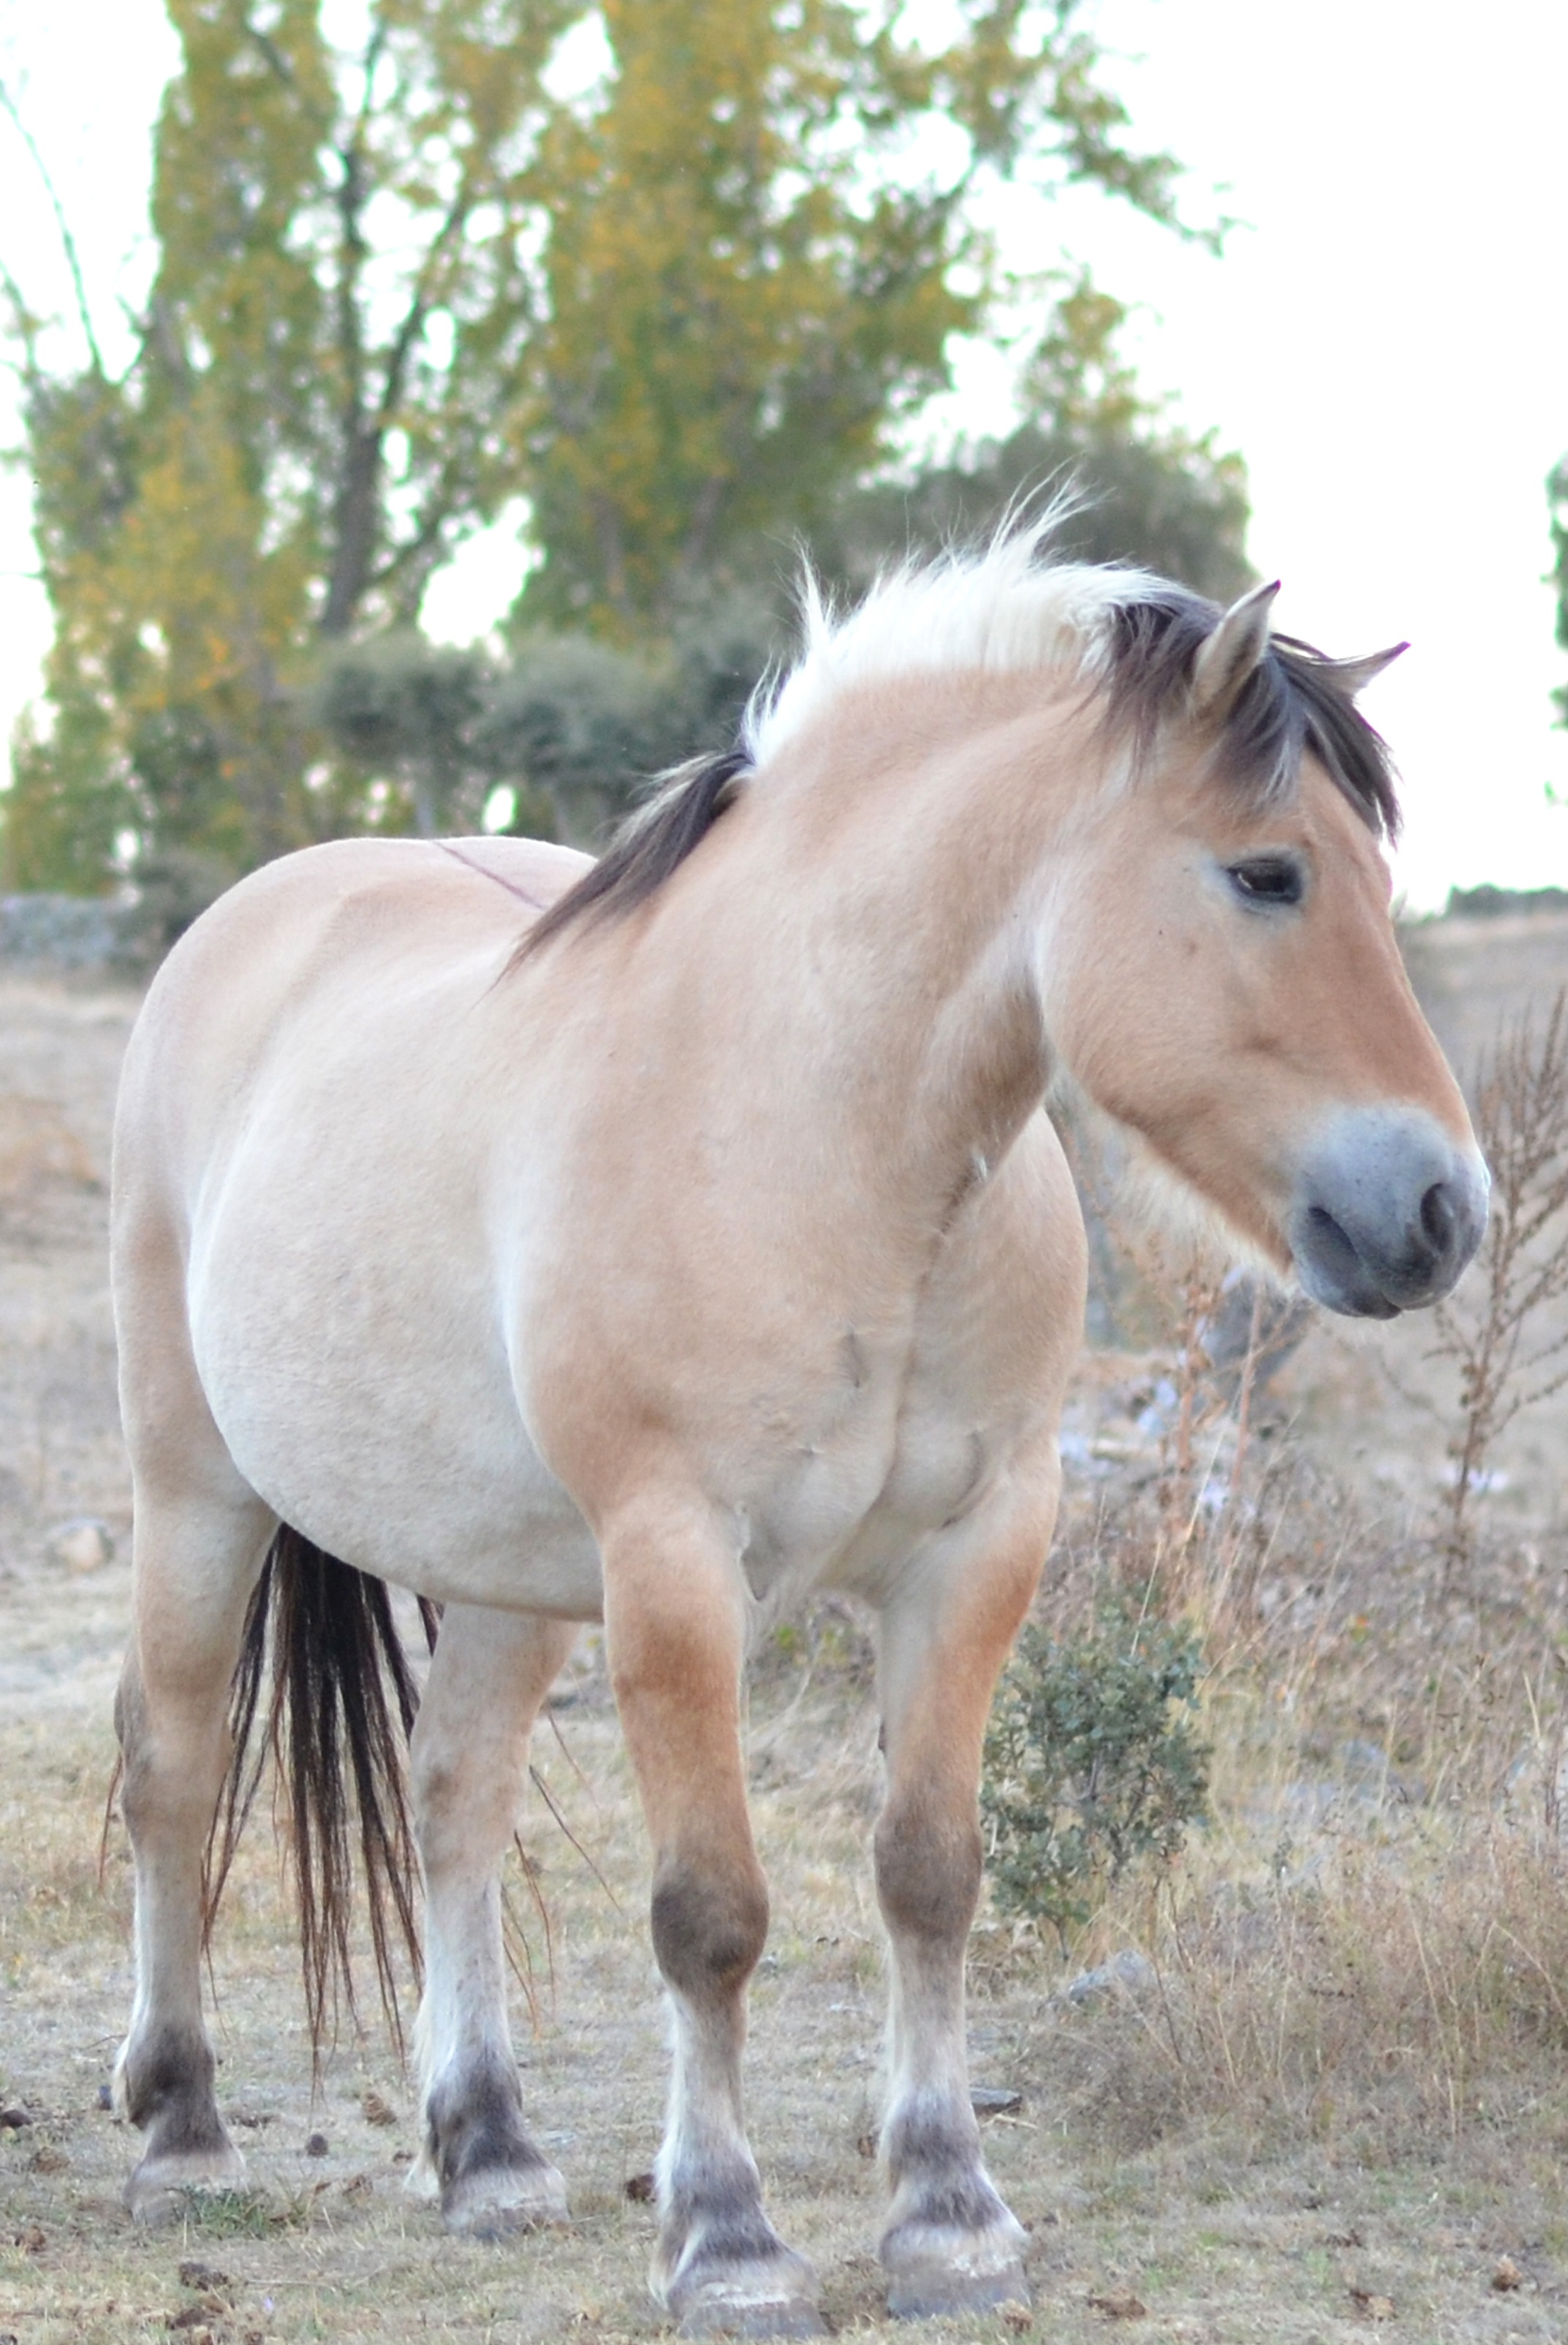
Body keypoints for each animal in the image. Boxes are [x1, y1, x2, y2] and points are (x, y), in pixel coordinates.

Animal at [108, 535, 1486, 2335]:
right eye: (1267, 875)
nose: (1439, 1213)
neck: (822, 1129)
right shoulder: (677, 1560)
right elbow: (710, 1913)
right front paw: (730, 2239)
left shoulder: (979, 1547)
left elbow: (929, 1870)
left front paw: (948, 2212)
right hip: (195, 1488)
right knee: (175, 1766)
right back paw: (183, 2127)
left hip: (500, 1567)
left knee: (453, 1793)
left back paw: (489, 2151)